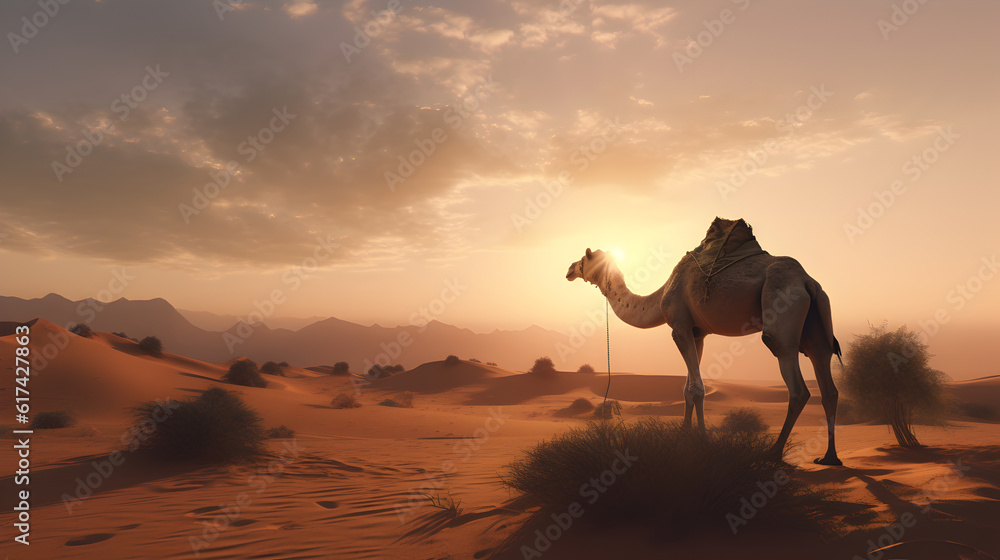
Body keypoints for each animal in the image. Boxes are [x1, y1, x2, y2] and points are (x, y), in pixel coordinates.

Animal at [566, 217, 843, 465]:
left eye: (585, 257)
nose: (569, 269)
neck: (661, 295)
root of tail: (807, 281)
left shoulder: (679, 326)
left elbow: (697, 388)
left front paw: (702, 442)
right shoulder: (696, 332)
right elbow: (686, 388)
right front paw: (683, 437)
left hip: (783, 313)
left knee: (794, 381)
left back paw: (773, 453)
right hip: (819, 319)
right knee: (826, 379)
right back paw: (829, 457)